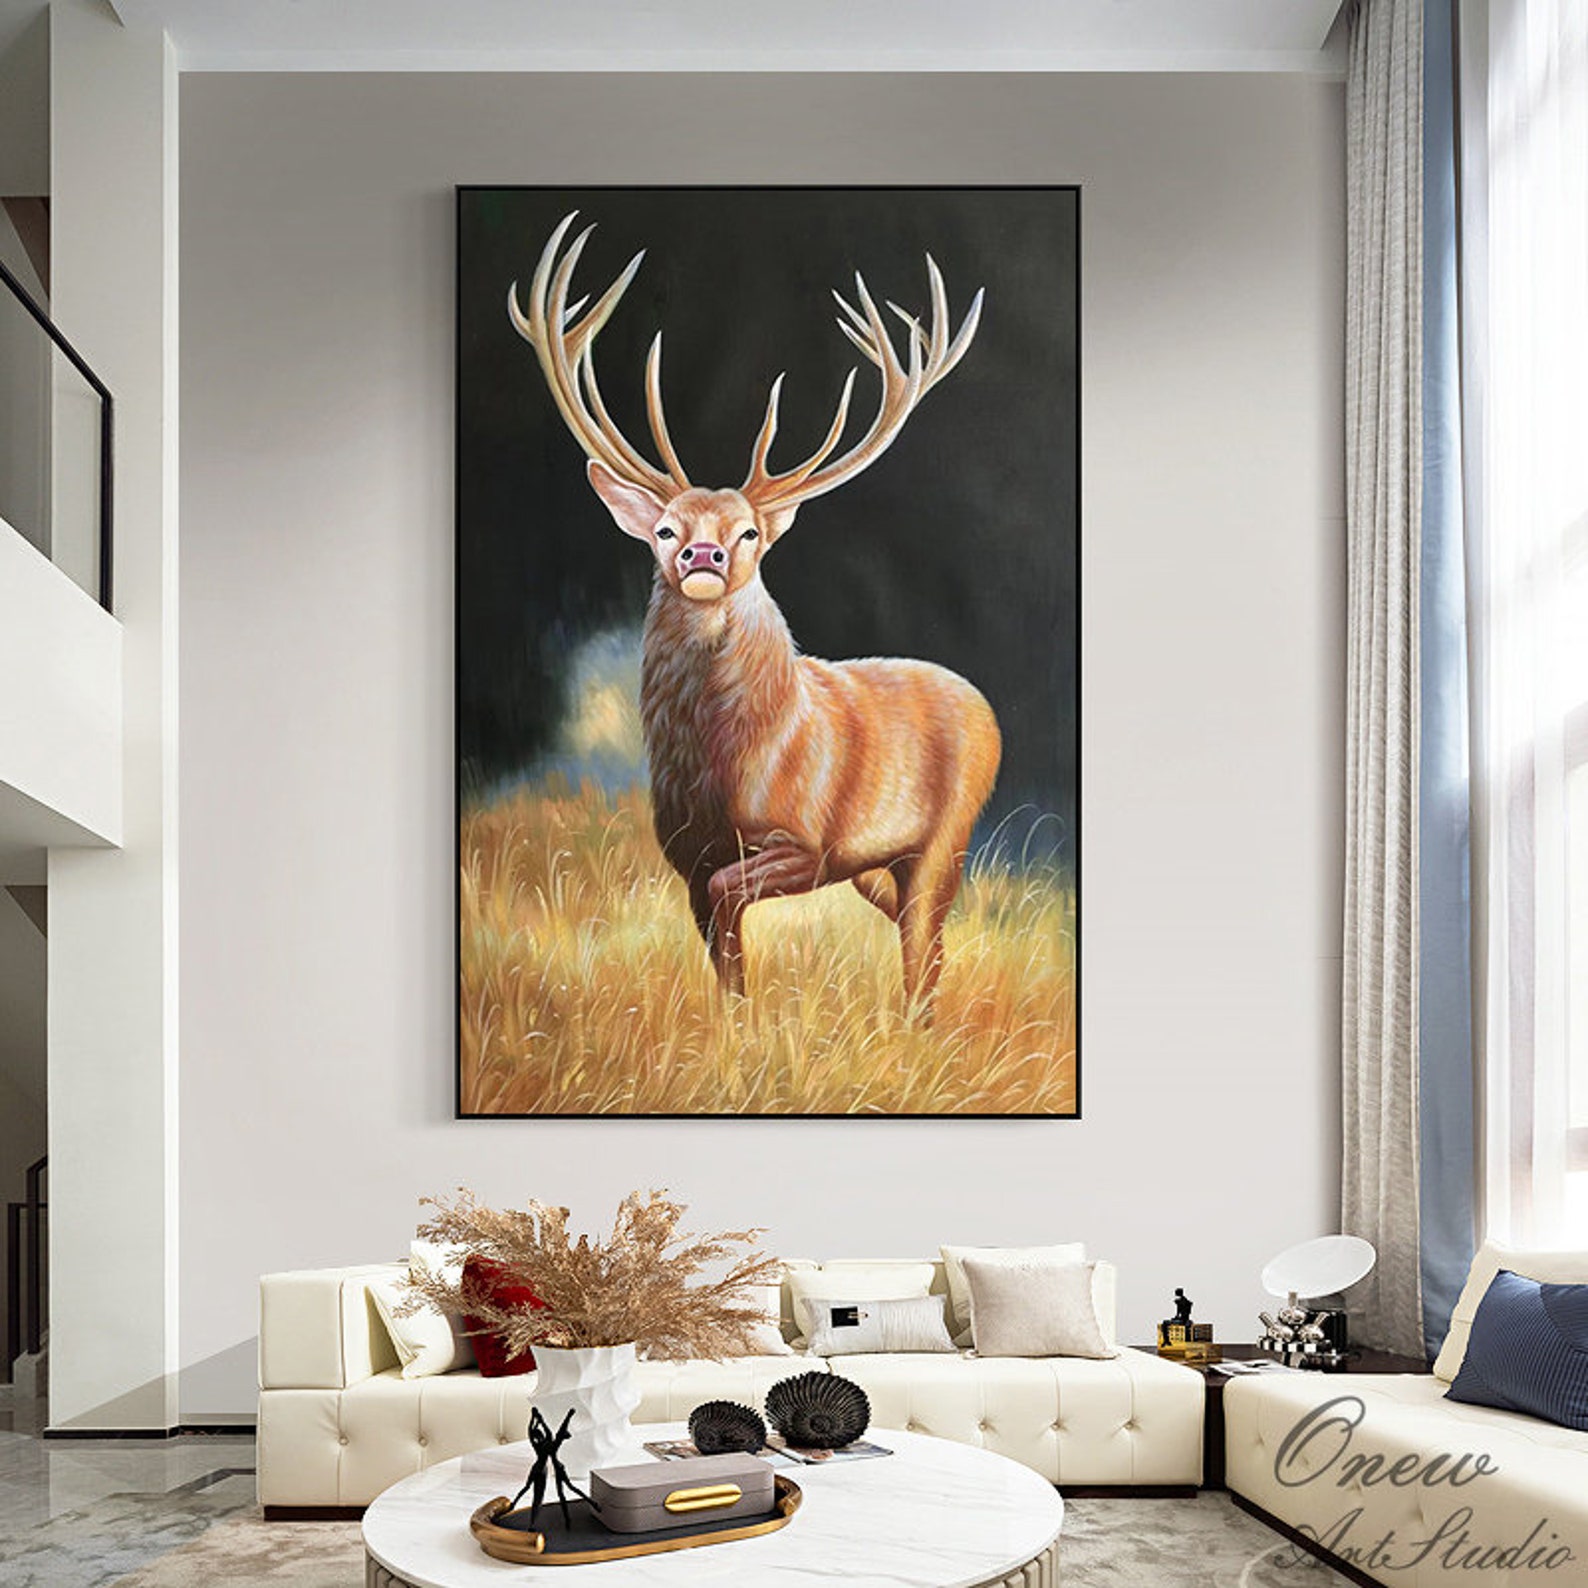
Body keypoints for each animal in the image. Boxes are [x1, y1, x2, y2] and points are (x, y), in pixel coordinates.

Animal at [509, 212, 1001, 1017]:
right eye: (664, 529)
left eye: (747, 534)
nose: (702, 555)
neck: (726, 765)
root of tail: (985, 706)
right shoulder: (685, 858)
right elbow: (727, 968)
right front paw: (739, 1032)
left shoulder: (812, 841)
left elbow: (731, 893)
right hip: (881, 867)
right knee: (926, 946)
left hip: (944, 837)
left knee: (923, 949)